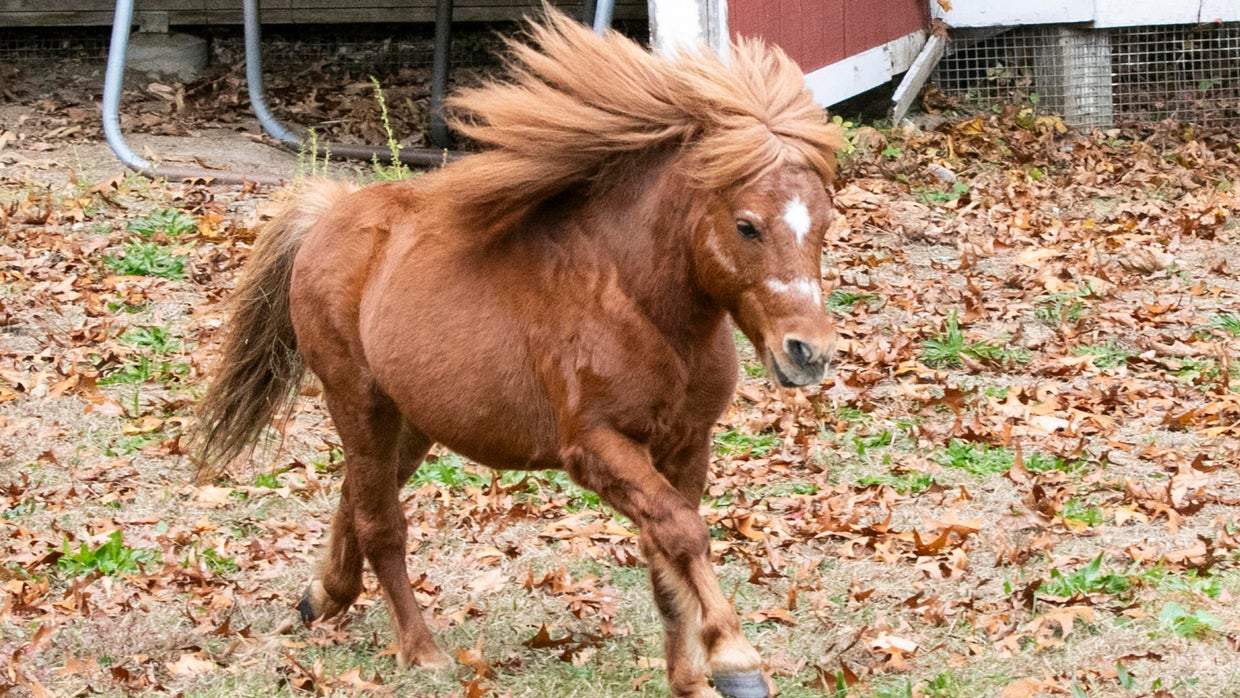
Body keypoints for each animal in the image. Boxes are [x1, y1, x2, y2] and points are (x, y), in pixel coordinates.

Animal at [195, 9, 842, 698]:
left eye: (825, 223)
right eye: (747, 225)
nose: (809, 352)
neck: (638, 304)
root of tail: (329, 213)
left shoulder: (687, 443)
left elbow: (666, 552)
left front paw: (690, 678)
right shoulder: (596, 447)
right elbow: (684, 534)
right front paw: (736, 662)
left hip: (413, 421)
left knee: (358, 496)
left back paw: (322, 596)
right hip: (357, 401)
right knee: (381, 522)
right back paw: (421, 651)